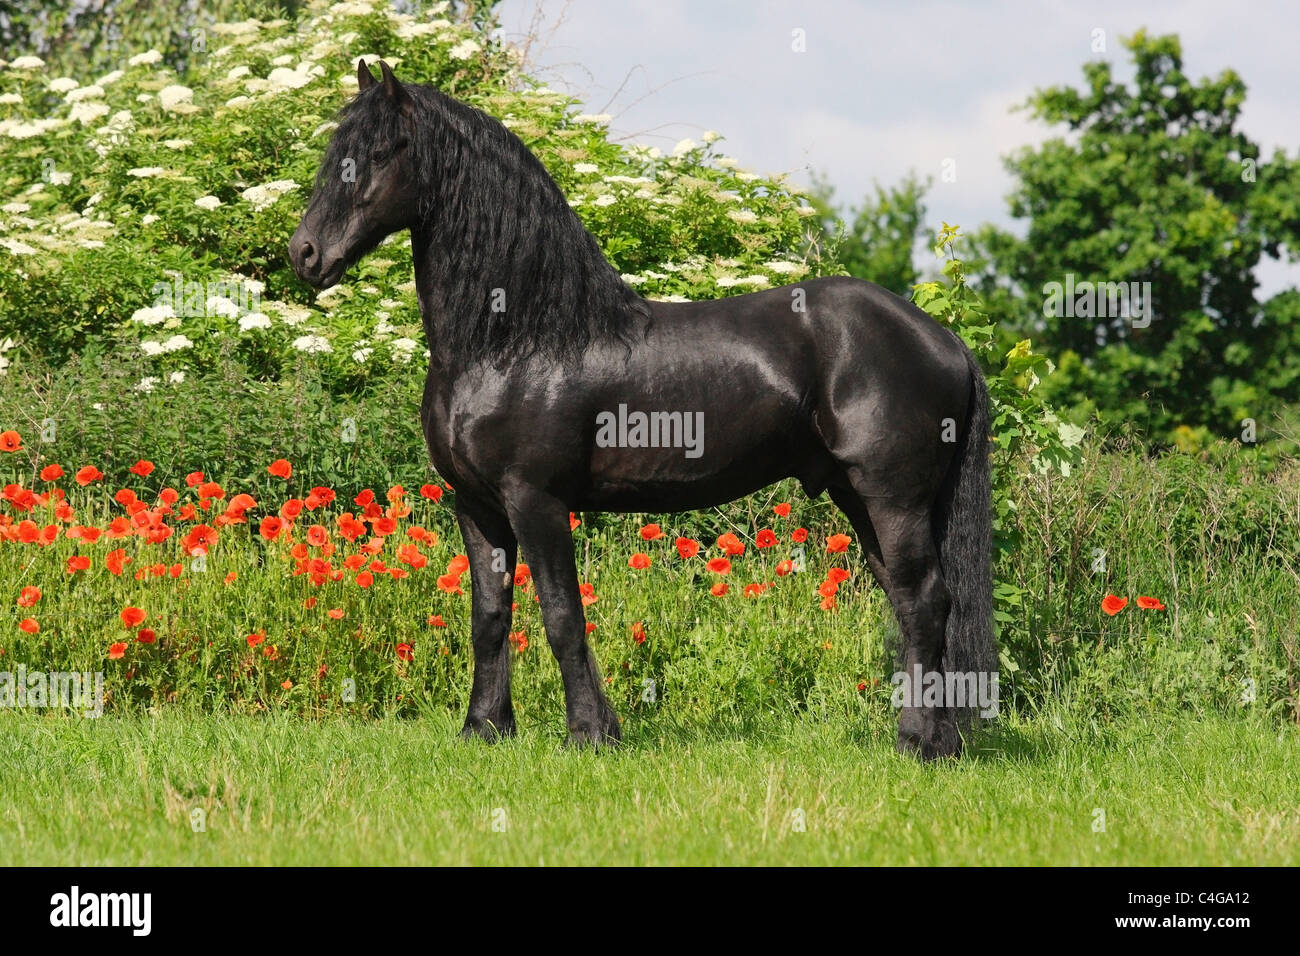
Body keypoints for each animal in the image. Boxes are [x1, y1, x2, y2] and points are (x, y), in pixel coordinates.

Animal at [289, 60, 995, 760]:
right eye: (335, 151)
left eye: (379, 153)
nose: (305, 254)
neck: (516, 339)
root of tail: (944, 339)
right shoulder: (477, 505)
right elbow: (490, 617)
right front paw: (484, 729)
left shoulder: (535, 500)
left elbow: (561, 614)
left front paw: (589, 733)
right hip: (859, 497)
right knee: (909, 600)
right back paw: (936, 737)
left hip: (892, 497)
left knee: (923, 600)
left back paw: (919, 743)